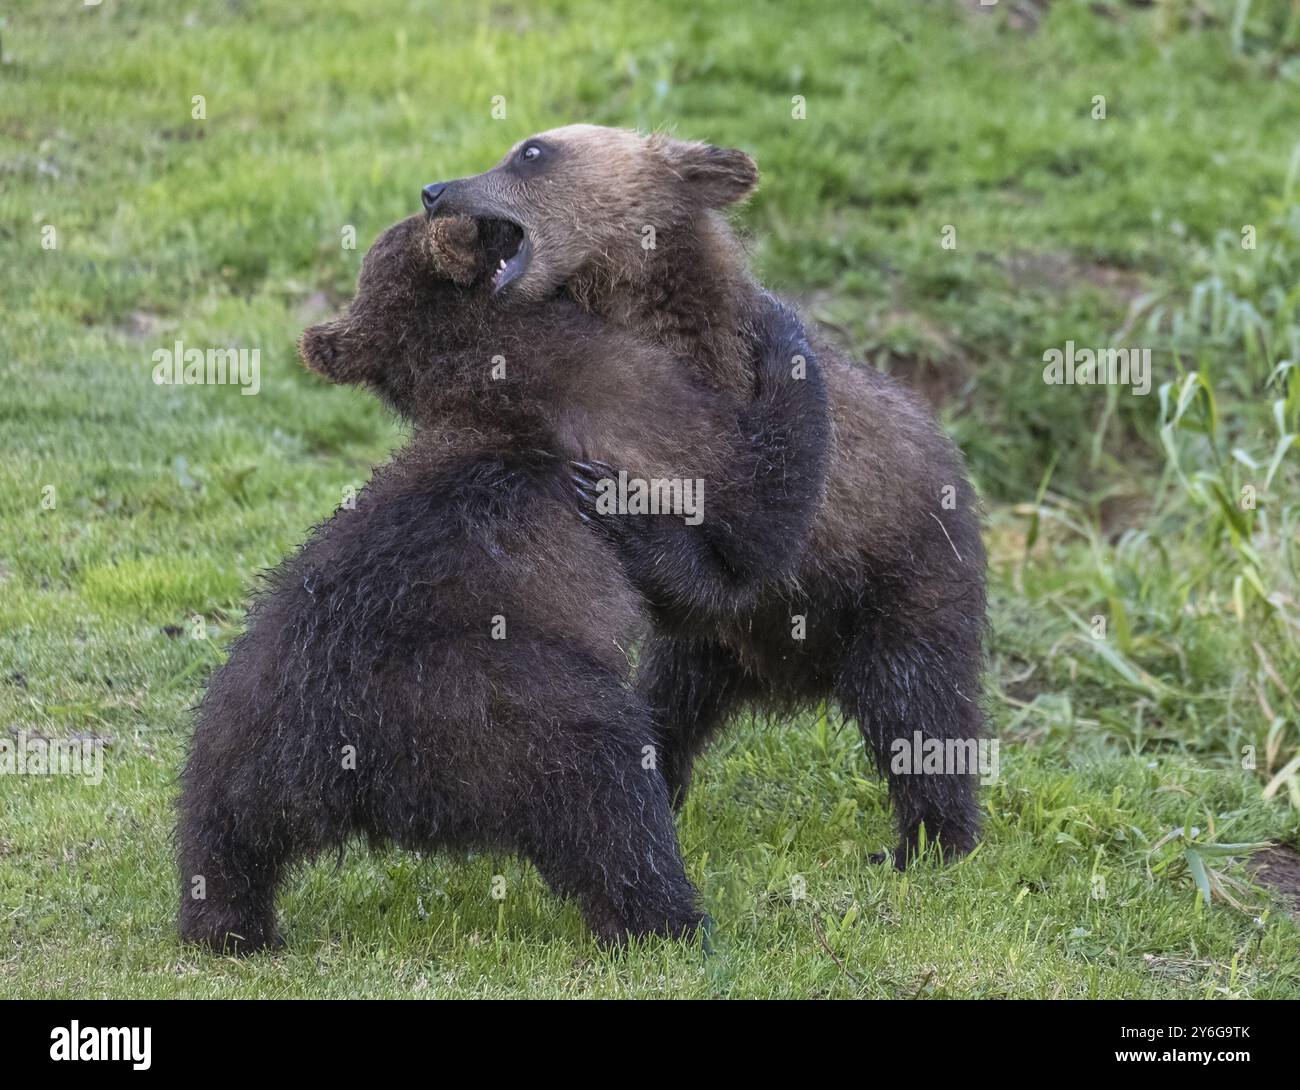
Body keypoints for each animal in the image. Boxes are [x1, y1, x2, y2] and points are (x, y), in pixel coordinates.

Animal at [176, 212, 831, 952]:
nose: (434, 194)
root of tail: (345, 764)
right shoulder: (633, 407)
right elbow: (753, 524)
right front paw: (781, 329)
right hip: (504, 711)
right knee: (611, 799)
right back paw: (671, 920)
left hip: (242, 714)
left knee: (220, 832)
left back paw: (227, 924)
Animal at [421, 126, 989, 865]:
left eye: (532, 152)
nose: (434, 190)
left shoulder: (748, 459)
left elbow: (738, 549)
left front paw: (619, 505)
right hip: (716, 652)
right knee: (673, 701)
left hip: (903, 580)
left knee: (919, 702)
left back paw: (929, 839)